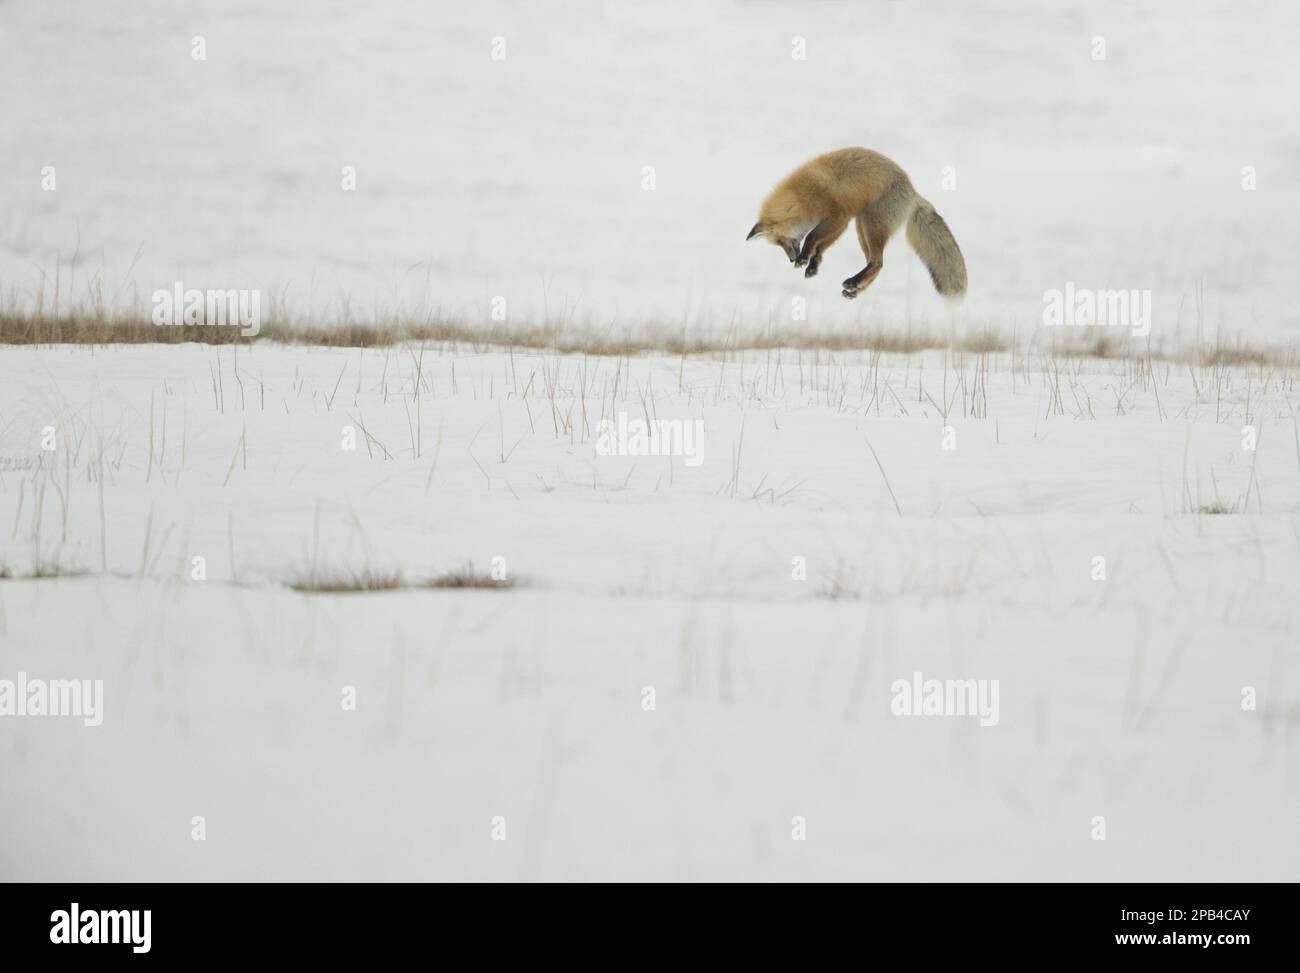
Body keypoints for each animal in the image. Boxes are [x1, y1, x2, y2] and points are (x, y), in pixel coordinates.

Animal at [747, 147, 967, 301]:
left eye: (782, 241)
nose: (792, 259)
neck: (800, 197)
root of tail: (913, 192)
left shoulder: (838, 217)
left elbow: (812, 237)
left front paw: (804, 259)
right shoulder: (840, 224)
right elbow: (820, 246)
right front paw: (812, 266)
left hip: (871, 226)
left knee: (878, 262)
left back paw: (854, 282)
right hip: (861, 229)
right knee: (876, 264)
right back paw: (855, 290)